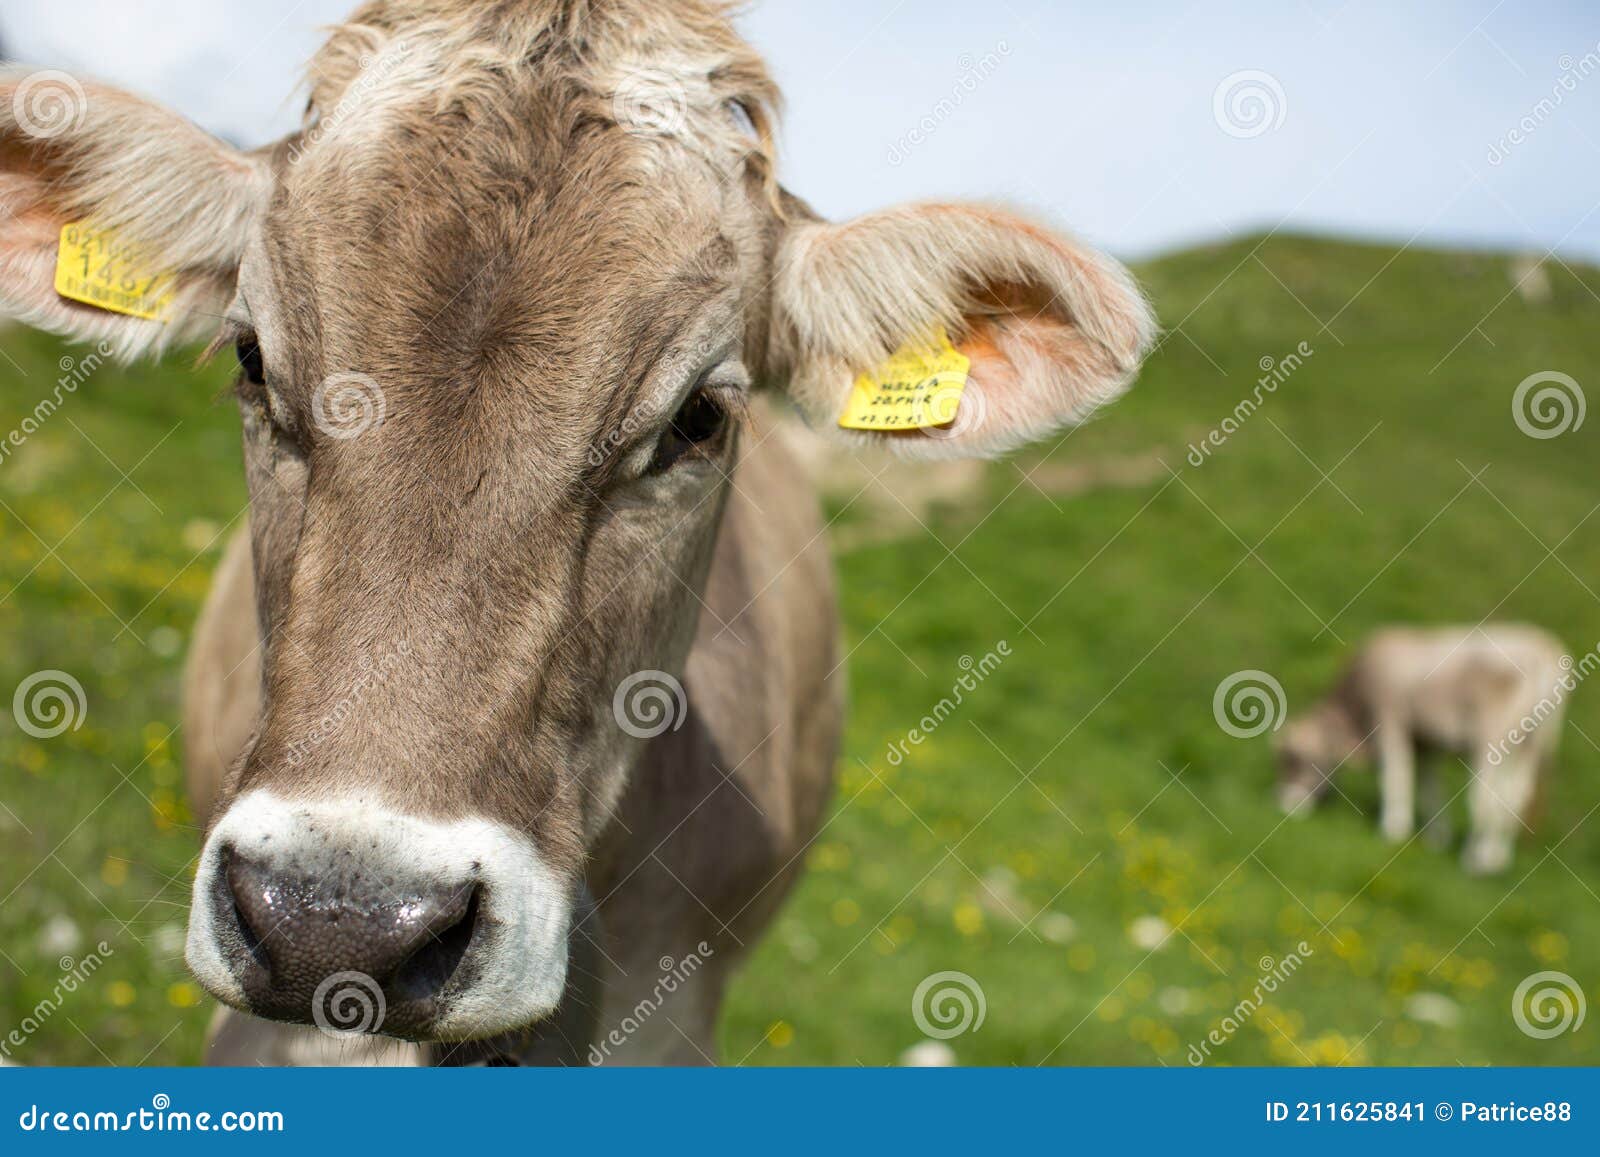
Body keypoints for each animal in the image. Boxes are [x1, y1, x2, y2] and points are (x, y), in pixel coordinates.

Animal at [1275, 625, 1571, 876]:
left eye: (1295, 759)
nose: (1285, 805)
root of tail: (1543, 647)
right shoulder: (1427, 743)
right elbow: (1429, 787)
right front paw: (1436, 838)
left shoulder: (1390, 724)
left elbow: (1395, 776)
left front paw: (1393, 831)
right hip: (1527, 747)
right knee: (1515, 797)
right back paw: (1497, 858)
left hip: (1492, 739)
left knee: (1486, 799)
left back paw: (1475, 862)